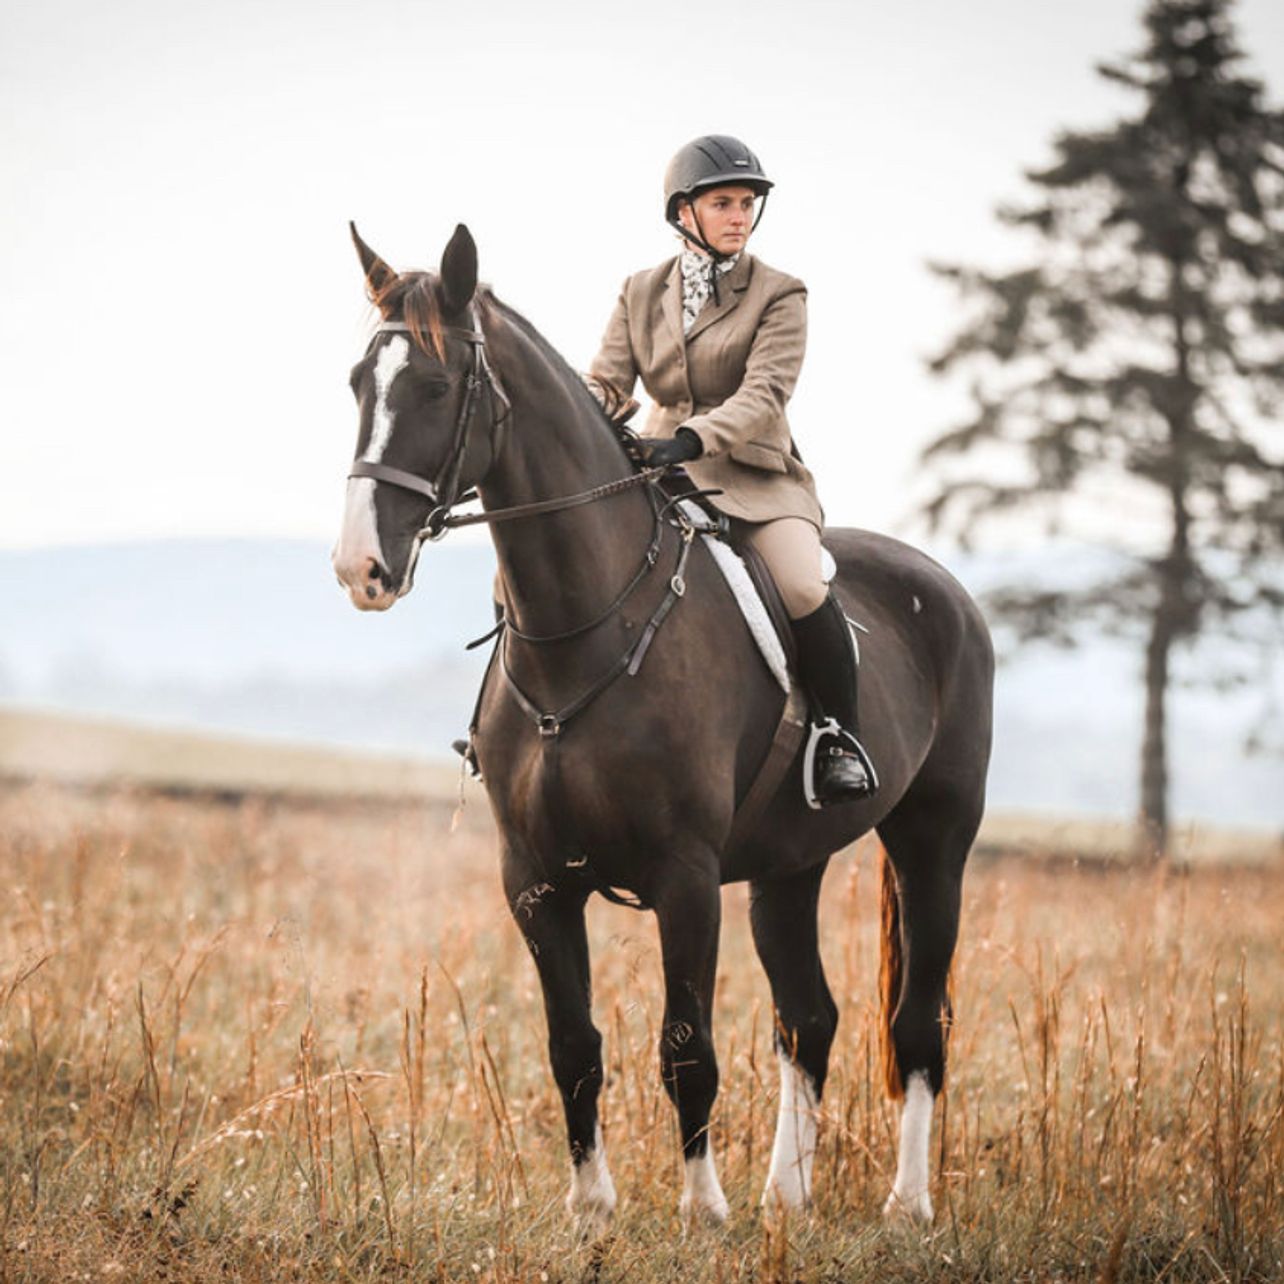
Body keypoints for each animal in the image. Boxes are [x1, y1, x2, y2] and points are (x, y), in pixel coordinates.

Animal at [332, 221, 995, 1227]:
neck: (583, 634)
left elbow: (686, 1045)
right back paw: (786, 1198)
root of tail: (945, 587)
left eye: (438, 388)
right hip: (787, 868)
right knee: (809, 1018)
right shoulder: (535, 882)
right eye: (357, 384)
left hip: (934, 843)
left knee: (918, 1021)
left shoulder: (684, 879)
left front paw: (702, 1210)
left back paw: (907, 1205)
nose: (361, 568)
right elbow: (573, 1046)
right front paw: (591, 1207)